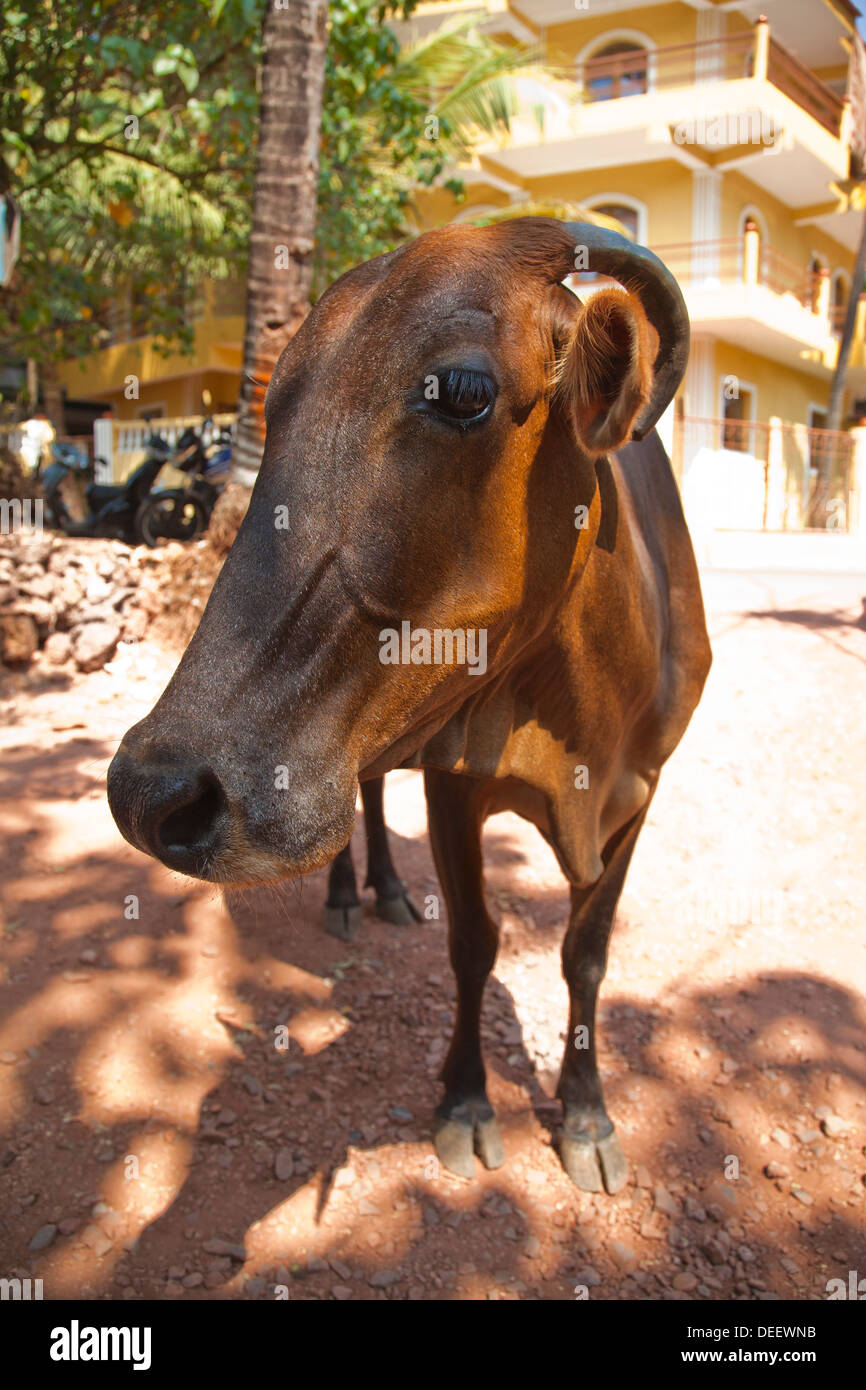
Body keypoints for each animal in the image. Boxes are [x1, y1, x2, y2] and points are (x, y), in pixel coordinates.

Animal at [108, 218, 711, 1192]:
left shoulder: (641, 790)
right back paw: (358, 891)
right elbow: (475, 943)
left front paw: (586, 1113)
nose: (150, 791)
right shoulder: (454, 781)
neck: (574, 724)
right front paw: (465, 1103)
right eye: (277, 400)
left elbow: (586, 954)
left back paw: (387, 887)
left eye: (463, 391)